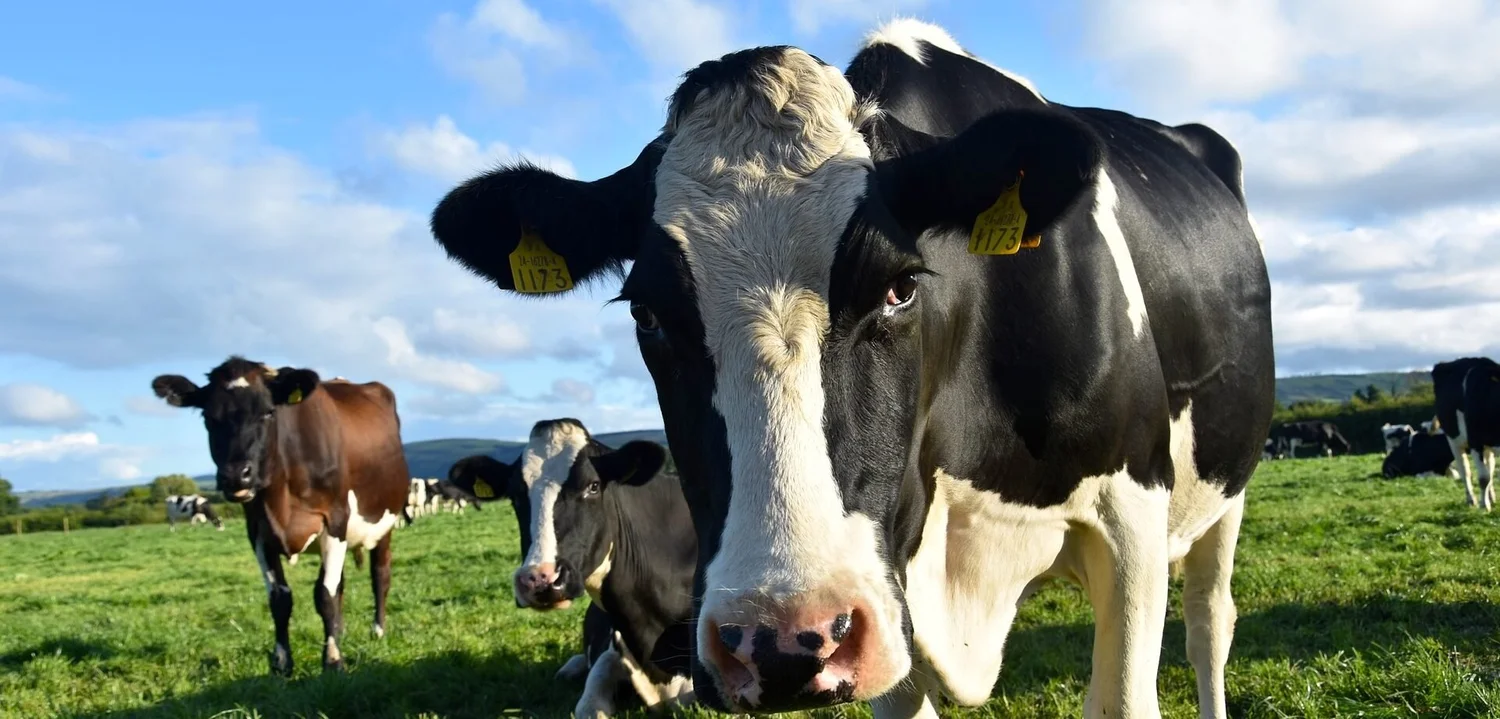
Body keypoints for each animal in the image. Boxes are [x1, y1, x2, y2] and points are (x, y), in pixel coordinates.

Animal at [151, 357, 409, 676]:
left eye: (268, 412)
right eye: (208, 417)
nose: (236, 475)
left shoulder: (335, 521)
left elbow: (324, 595)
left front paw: (333, 660)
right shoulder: (258, 532)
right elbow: (281, 598)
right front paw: (282, 662)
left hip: (384, 523)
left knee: (379, 575)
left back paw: (377, 630)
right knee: (341, 584)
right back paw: (341, 630)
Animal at [1432, 357, 1500, 510]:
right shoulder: (1475, 441)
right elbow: (1483, 478)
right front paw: (1484, 506)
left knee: (1490, 467)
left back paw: (1491, 497)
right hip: (1453, 440)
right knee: (1465, 471)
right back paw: (1472, 500)